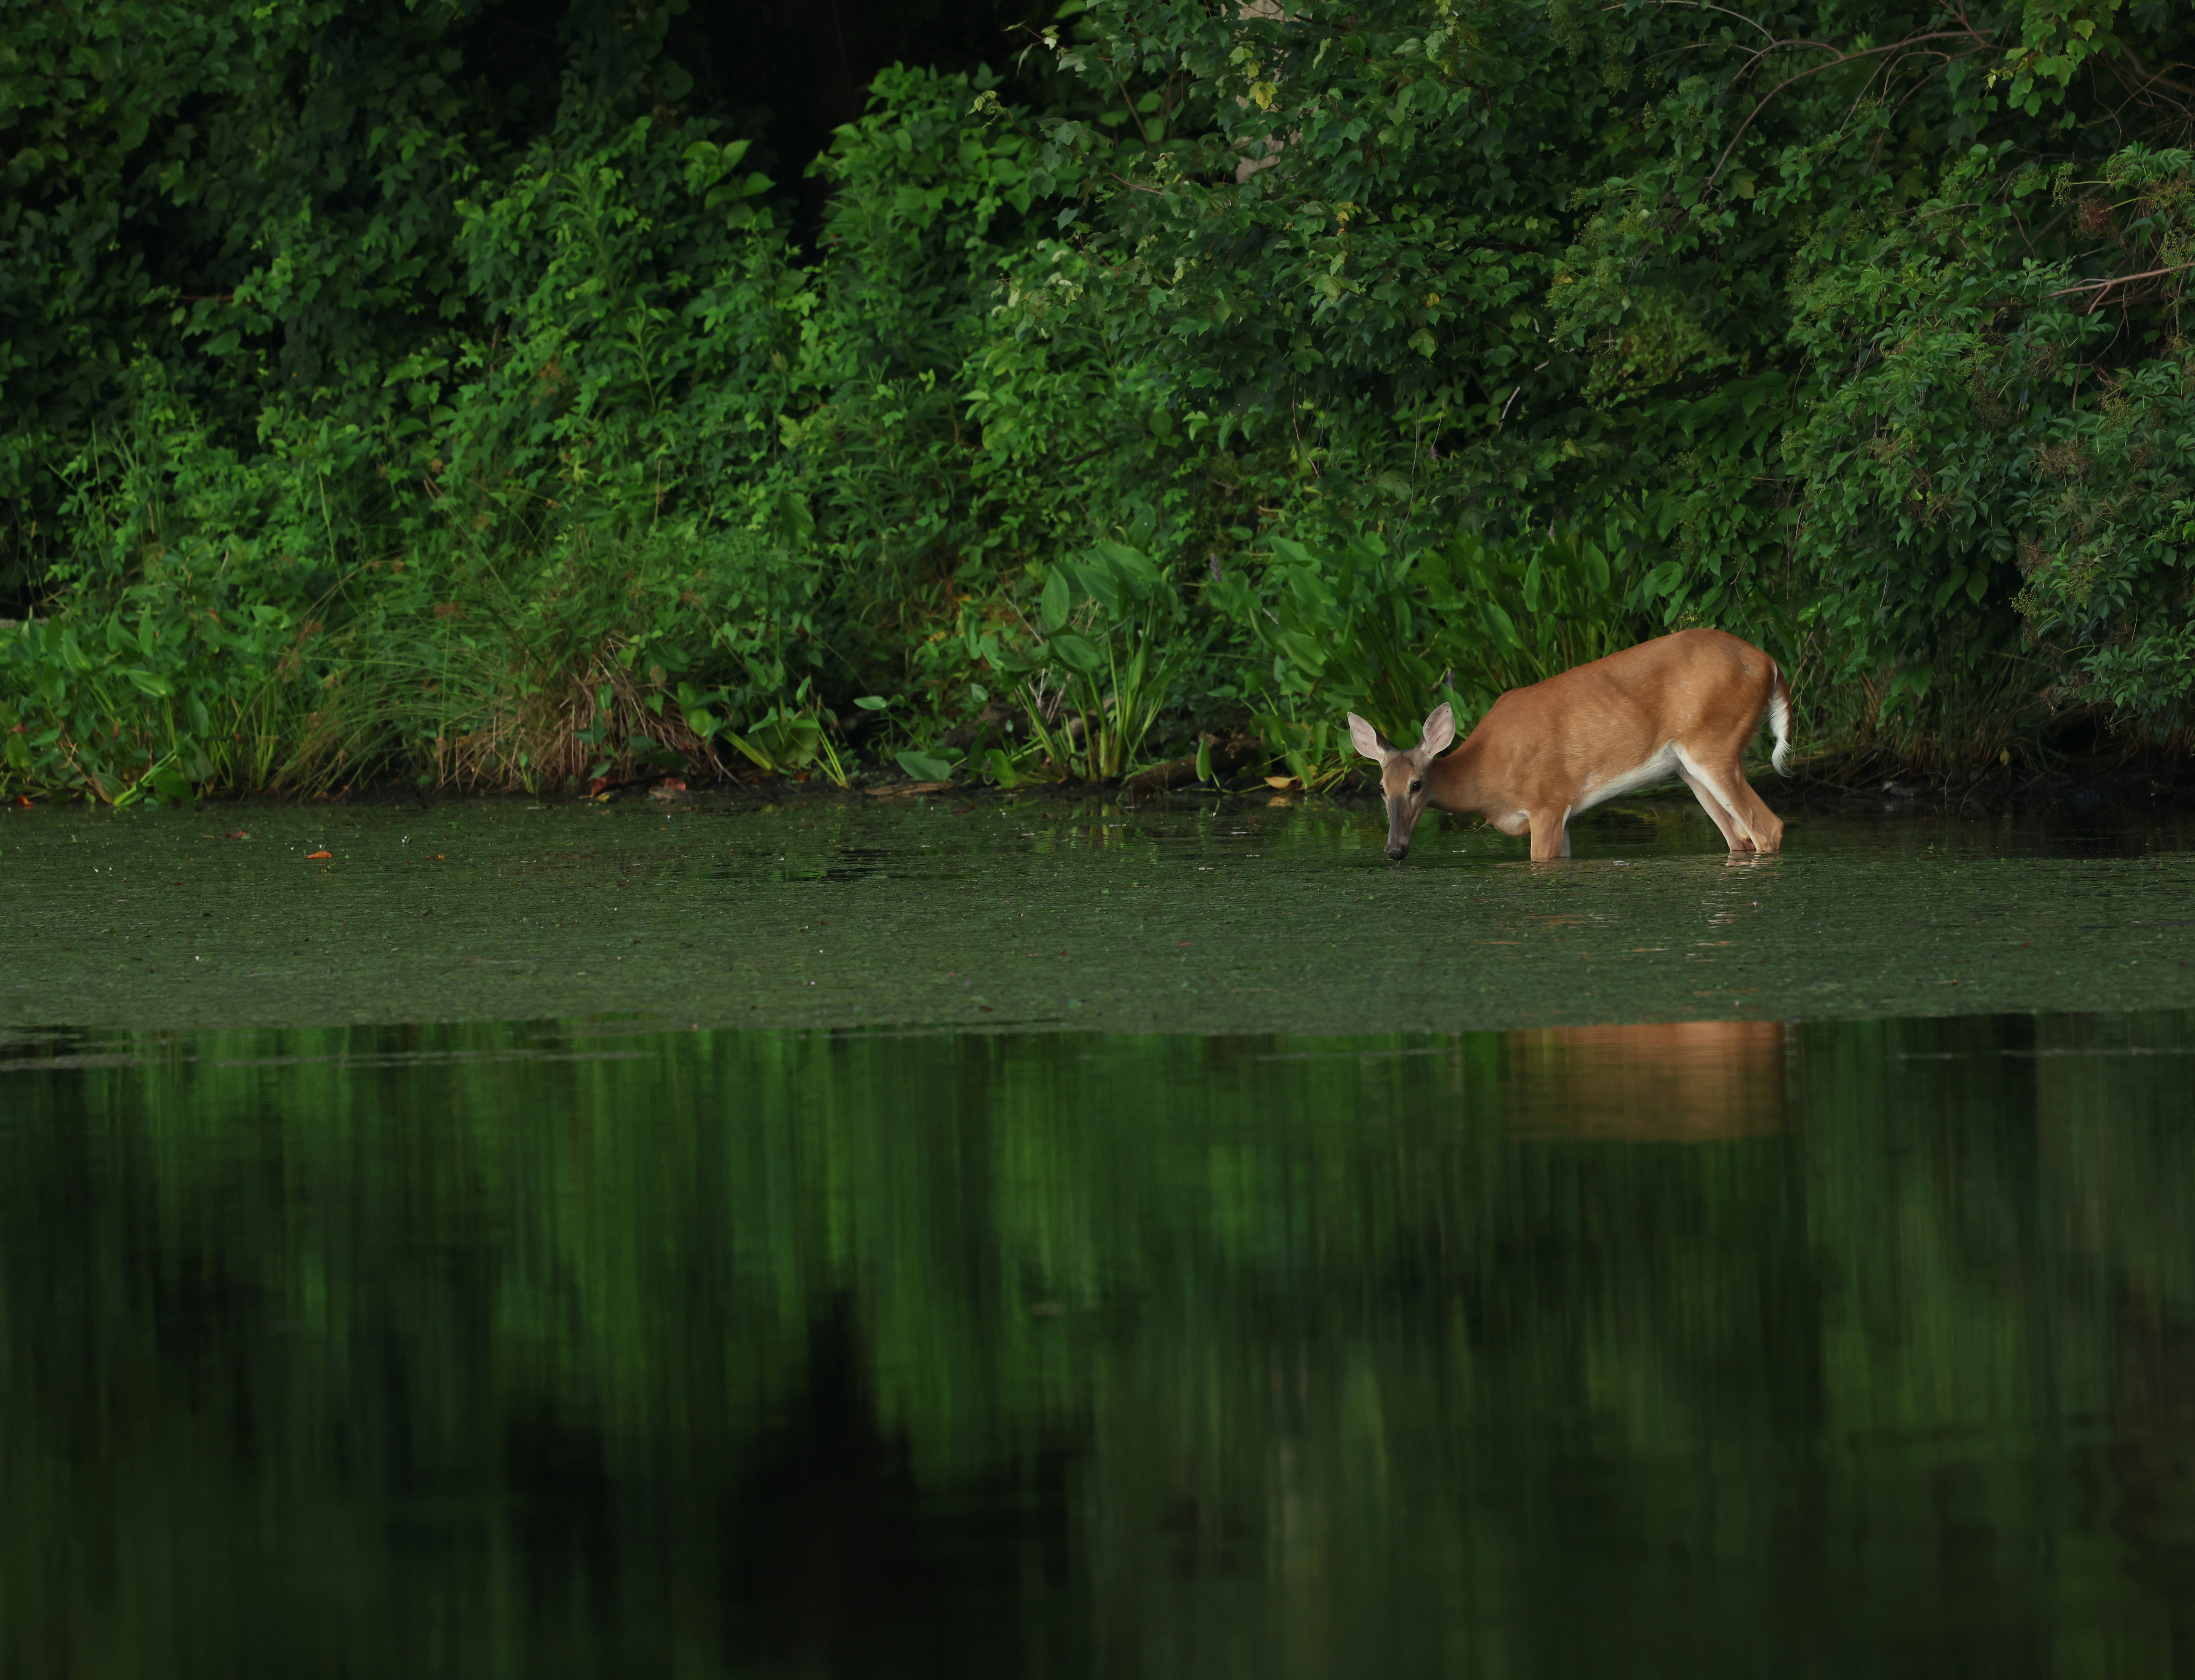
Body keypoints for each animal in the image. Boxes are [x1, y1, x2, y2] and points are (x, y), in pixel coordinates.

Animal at [1347, 628, 1792, 863]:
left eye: (1417, 785)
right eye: (1381, 788)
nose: (1395, 850)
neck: (1486, 777)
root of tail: (1771, 666)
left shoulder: (1547, 801)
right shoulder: (1558, 816)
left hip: (1714, 746)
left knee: (1768, 827)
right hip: (1688, 768)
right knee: (1739, 838)